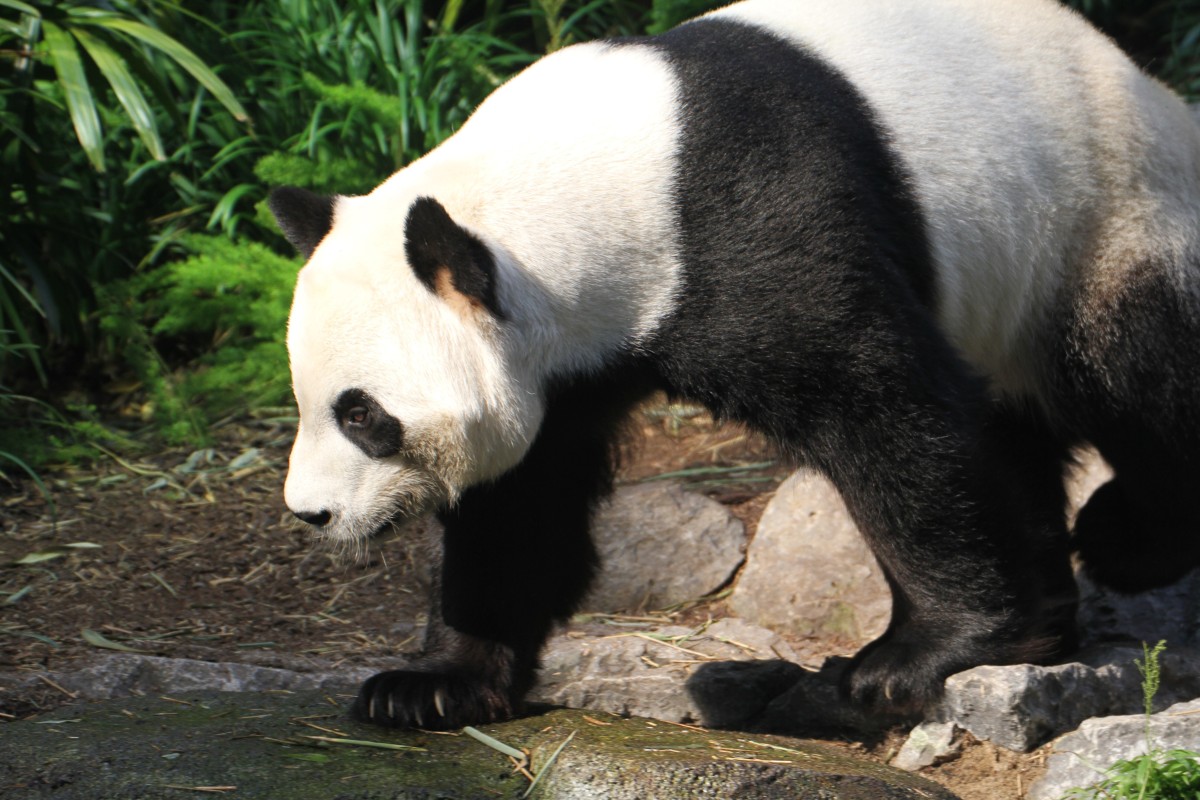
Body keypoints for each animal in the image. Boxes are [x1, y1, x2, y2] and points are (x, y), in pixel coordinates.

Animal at [270, 0, 1200, 730]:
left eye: (363, 414)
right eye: (309, 402)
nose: (311, 514)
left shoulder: (751, 229)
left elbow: (886, 413)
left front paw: (913, 658)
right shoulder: (566, 367)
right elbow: (520, 505)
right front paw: (427, 686)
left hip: (1104, 216)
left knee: (1135, 377)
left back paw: (1125, 540)